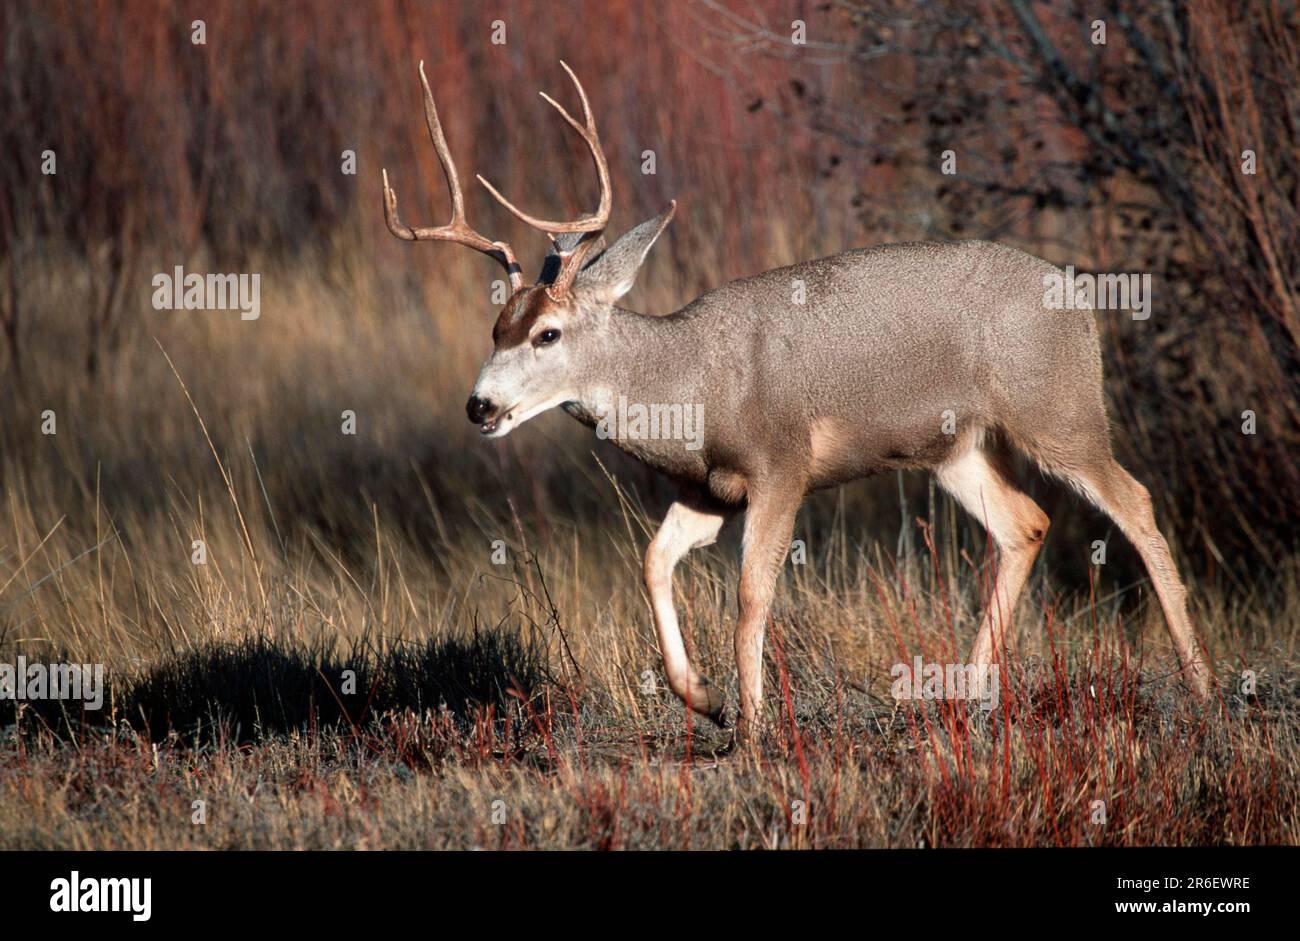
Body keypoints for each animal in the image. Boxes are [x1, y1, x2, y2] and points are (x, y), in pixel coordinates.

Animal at [381, 61, 1214, 741]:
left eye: (548, 333)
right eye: (496, 326)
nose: (479, 406)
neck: (691, 382)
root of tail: (1082, 299)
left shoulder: (781, 463)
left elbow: (753, 591)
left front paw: (751, 725)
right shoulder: (709, 487)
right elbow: (653, 562)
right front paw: (708, 699)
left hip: (1058, 409)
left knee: (1134, 502)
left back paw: (1200, 680)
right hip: (955, 447)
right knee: (1027, 522)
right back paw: (967, 695)